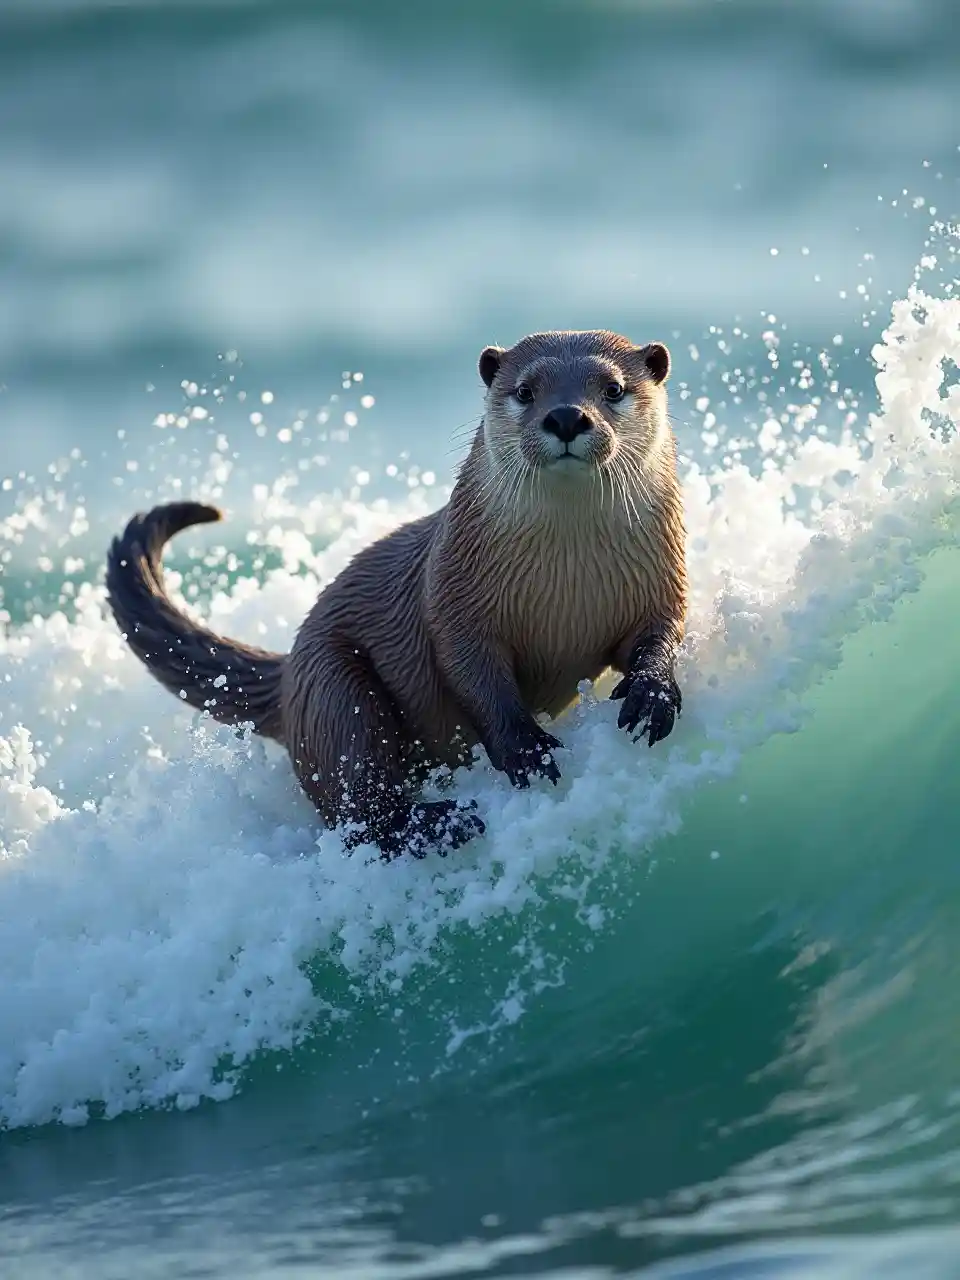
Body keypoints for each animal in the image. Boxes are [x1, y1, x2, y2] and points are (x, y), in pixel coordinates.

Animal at [106, 330, 687, 859]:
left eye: (613, 388)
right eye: (525, 390)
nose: (566, 416)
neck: (565, 585)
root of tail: (288, 672)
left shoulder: (664, 581)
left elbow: (665, 632)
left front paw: (652, 694)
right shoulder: (454, 595)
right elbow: (473, 674)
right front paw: (526, 749)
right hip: (331, 690)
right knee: (359, 801)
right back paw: (442, 823)